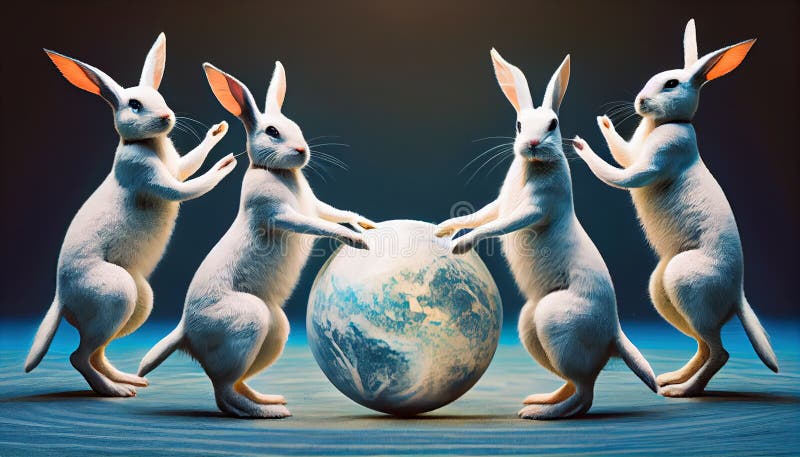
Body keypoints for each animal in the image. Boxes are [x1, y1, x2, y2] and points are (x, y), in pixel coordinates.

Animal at [24, 33, 237, 397]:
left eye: (160, 97)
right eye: (134, 105)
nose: (167, 117)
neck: (147, 143)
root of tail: (61, 299)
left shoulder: (176, 167)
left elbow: (190, 163)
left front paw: (218, 132)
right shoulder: (158, 180)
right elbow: (190, 187)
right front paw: (226, 165)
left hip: (139, 304)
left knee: (96, 353)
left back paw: (129, 380)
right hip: (115, 294)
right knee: (79, 356)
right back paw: (115, 391)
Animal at [138, 61, 376, 418]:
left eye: (296, 127)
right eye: (272, 132)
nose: (302, 151)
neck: (277, 172)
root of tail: (185, 331)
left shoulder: (313, 205)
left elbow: (330, 212)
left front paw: (366, 225)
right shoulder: (281, 215)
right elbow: (319, 224)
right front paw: (357, 241)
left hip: (275, 331)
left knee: (233, 385)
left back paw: (268, 399)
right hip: (249, 324)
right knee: (223, 391)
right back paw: (267, 413)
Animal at [435, 49, 657, 419]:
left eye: (553, 124)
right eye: (518, 125)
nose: (533, 143)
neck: (535, 166)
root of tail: (614, 335)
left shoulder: (534, 210)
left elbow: (497, 225)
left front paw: (461, 244)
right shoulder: (502, 204)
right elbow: (484, 214)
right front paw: (444, 229)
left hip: (557, 323)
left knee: (585, 394)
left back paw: (539, 414)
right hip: (531, 326)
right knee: (575, 385)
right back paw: (539, 400)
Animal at [571, 19, 779, 397]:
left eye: (671, 84)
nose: (640, 101)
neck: (667, 123)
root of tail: (737, 296)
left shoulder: (651, 163)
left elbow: (619, 174)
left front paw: (582, 146)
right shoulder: (635, 152)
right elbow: (622, 152)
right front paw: (604, 122)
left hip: (687, 285)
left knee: (719, 352)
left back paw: (681, 392)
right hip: (663, 292)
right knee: (704, 347)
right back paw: (671, 380)